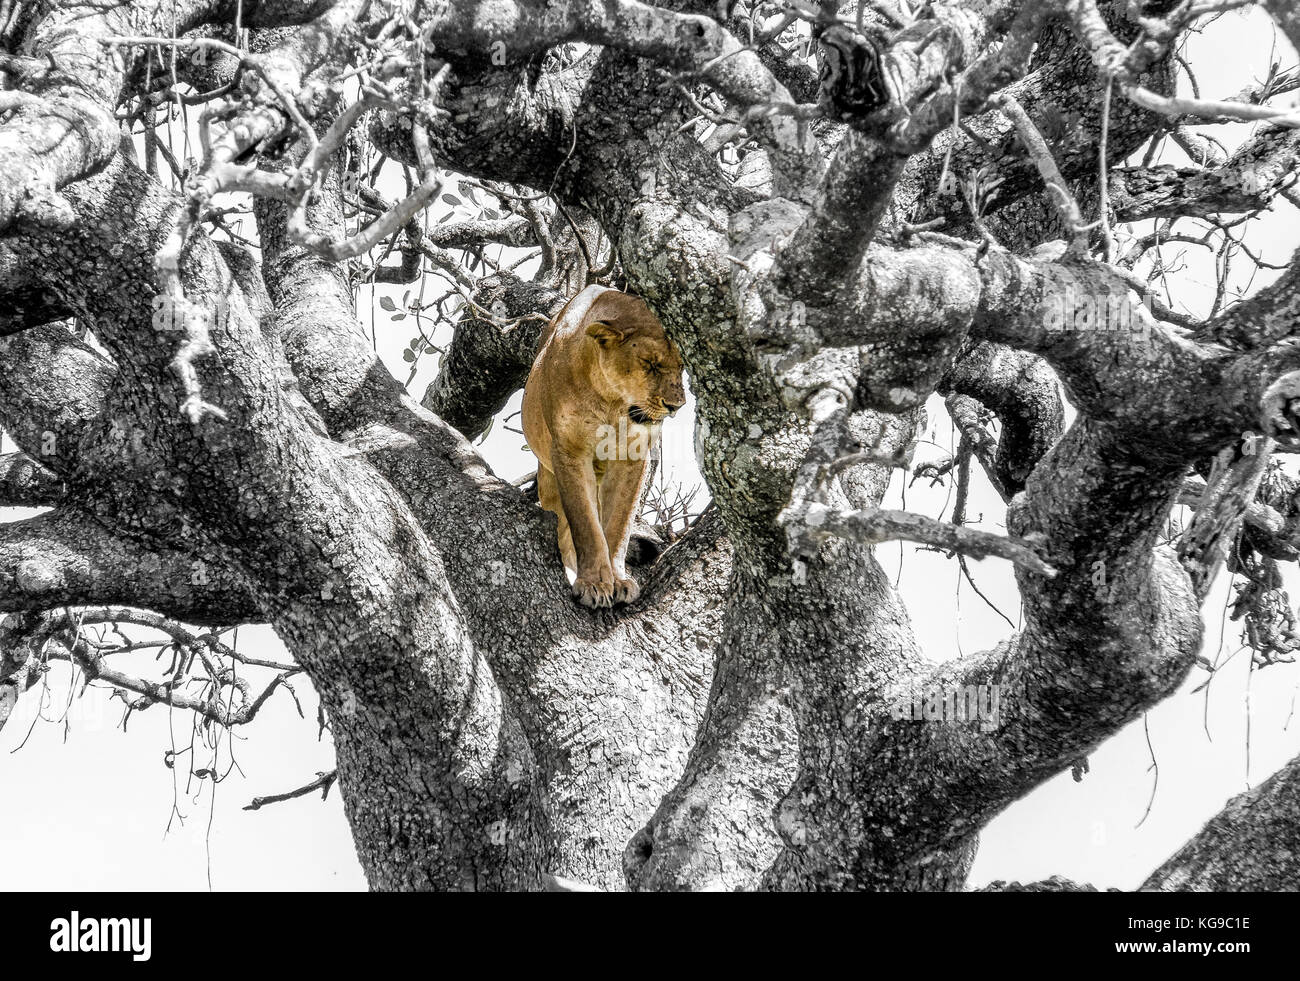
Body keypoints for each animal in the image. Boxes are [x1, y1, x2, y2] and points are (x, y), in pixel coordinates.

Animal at [522, 285, 686, 608]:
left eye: (682, 365)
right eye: (649, 364)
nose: (677, 406)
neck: (612, 402)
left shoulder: (633, 457)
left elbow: (618, 525)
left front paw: (618, 580)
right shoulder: (570, 452)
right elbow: (586, 525)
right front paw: (594, 583)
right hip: (550, 485)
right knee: (563, 534)